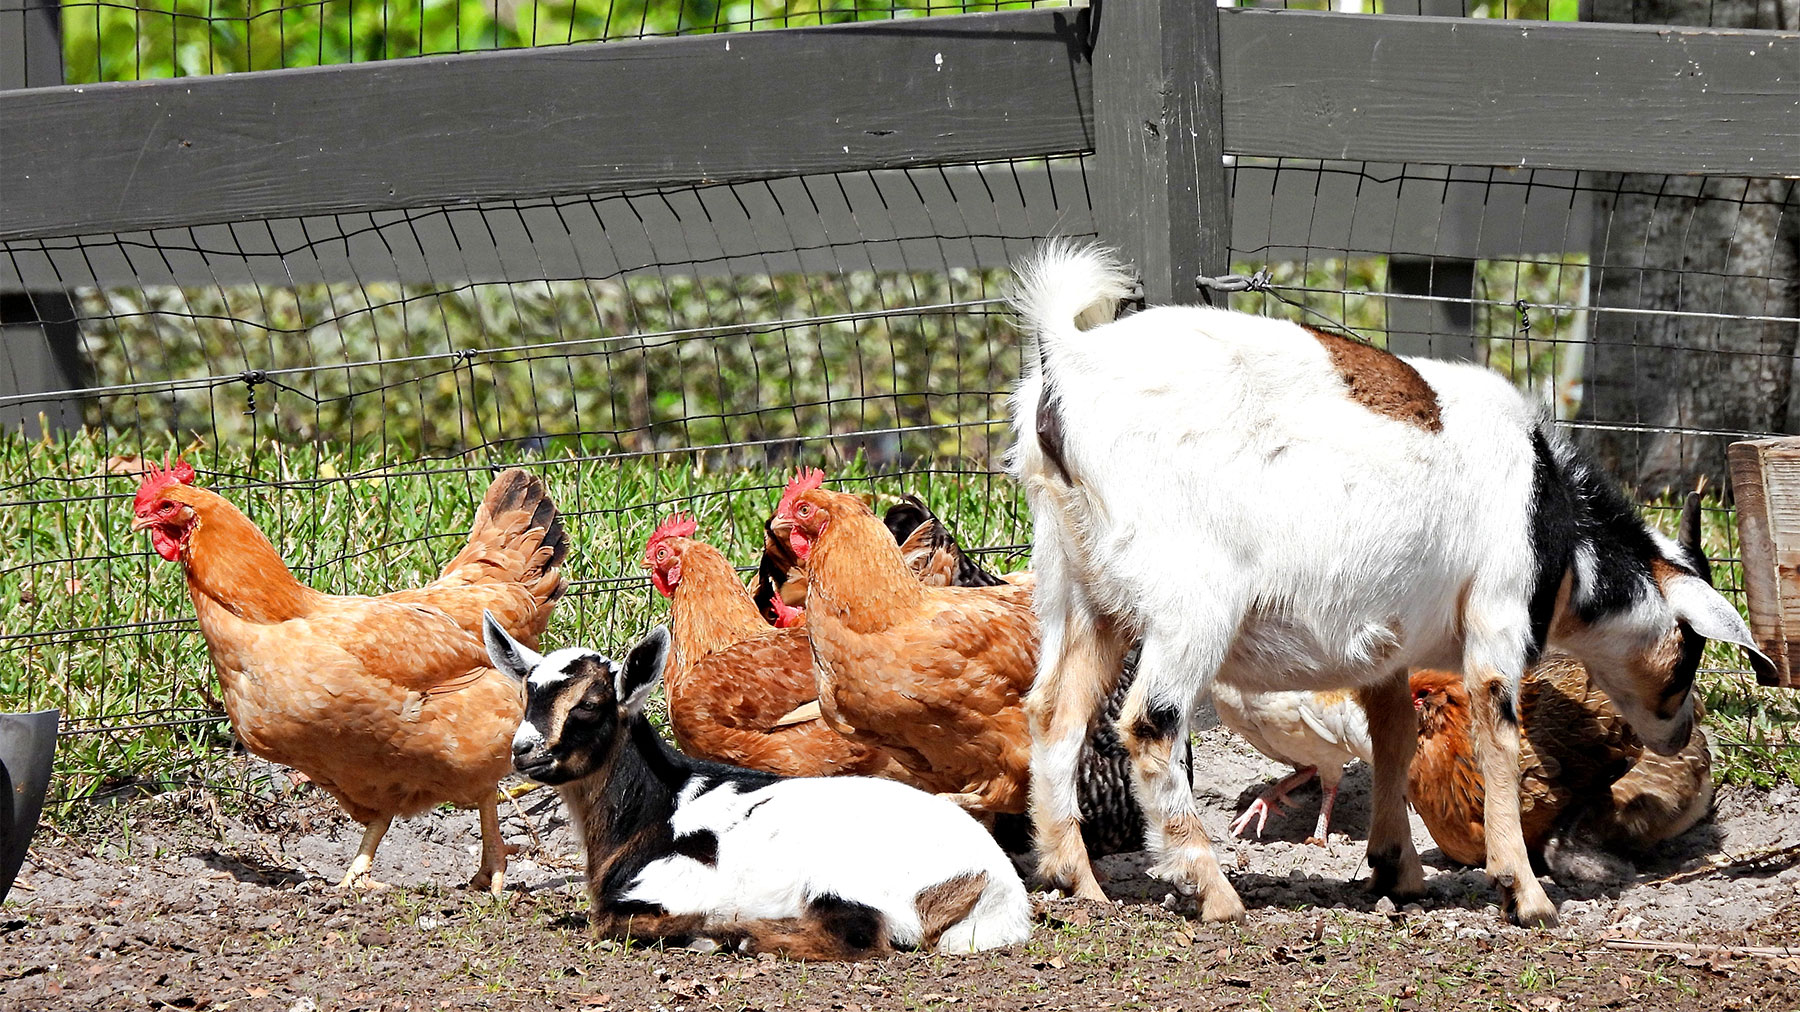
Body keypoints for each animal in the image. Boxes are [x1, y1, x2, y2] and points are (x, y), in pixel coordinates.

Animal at [481, 613, 1032, 958]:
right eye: (527, 693)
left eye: (590, 705)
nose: (525, 750)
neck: (659, 808)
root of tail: (993, 881)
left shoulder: (673, 887)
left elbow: (613, 921)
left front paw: (710, 931)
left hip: (849, 876)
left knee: (861, 935)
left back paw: (747, 936)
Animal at [1007, 241, 1773, 927]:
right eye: (1689, 651)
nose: (1681, 733)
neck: (1551, 514)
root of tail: (1068, 368)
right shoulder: (1498, 616)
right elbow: (1499, 739)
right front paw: (1525, 896)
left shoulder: (1386, 649)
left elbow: (1396, 737)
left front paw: (1396, 870)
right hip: (1192, 601)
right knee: (1149, 723)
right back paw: (1212, 891)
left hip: (1078, 588)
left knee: (1052, 713)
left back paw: (1079, 880)